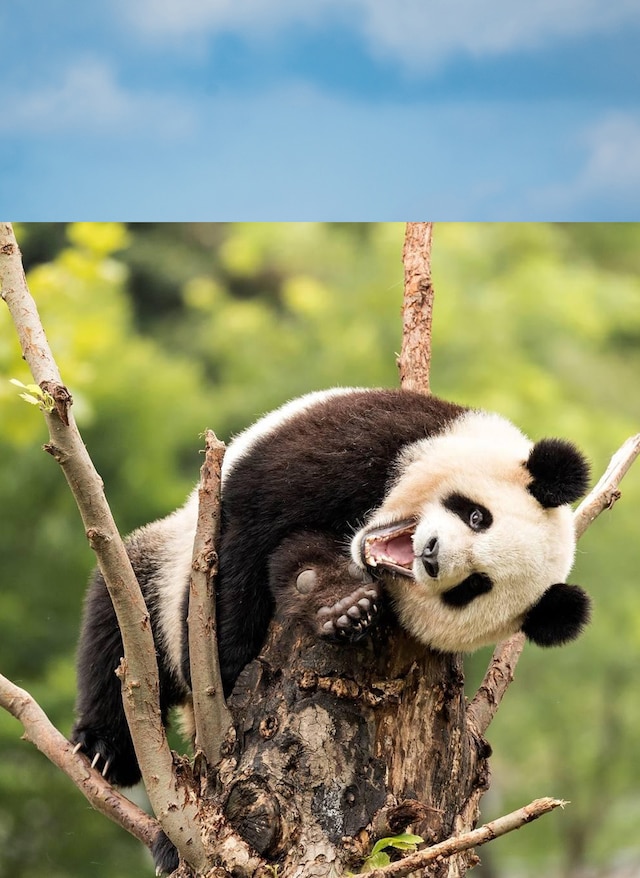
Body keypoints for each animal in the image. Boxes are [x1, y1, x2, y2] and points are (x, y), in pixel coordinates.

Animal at [72, 386, 591, 797]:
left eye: (473, 586)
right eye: (477, 516)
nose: (431, 555)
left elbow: (296, 560)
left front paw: (345, 608)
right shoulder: (373, 438)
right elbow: (248, 532)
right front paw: (228, 659)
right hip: (161, 562)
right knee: (117, 625)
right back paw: (104, 750)